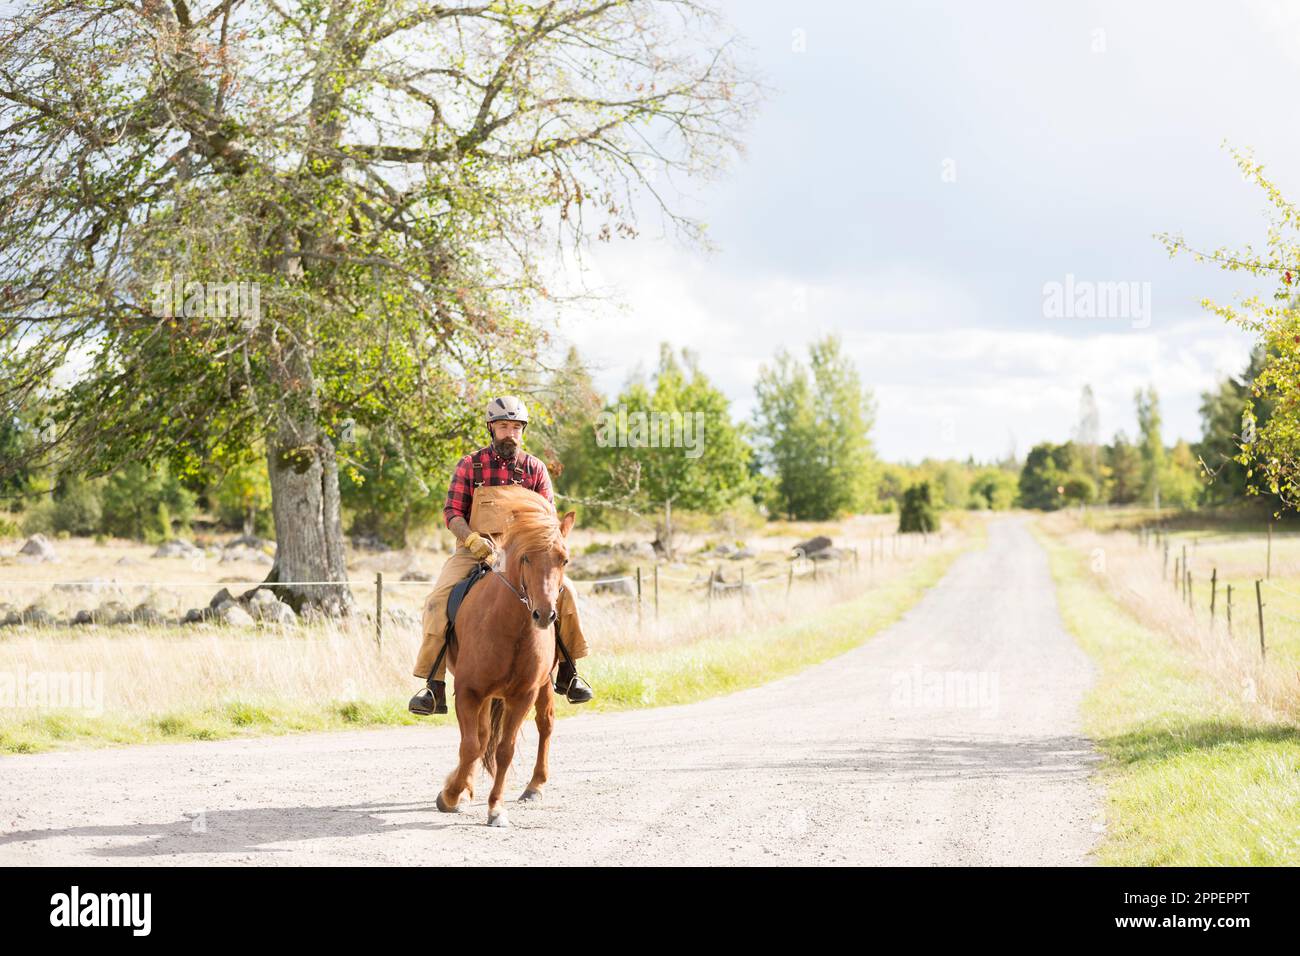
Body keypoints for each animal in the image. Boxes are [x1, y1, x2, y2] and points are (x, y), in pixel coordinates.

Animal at [434, 484, 576, 827]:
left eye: (564, 560)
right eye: (525, 557)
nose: (544, 614)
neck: (510, 628)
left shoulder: (522, 695)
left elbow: (504, 750)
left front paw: (496, 808)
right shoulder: (469, 692)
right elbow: (471, 745)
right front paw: (451, 795)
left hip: (542, 686)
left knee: (545, 724)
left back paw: (535, 787)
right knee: (479, 737)